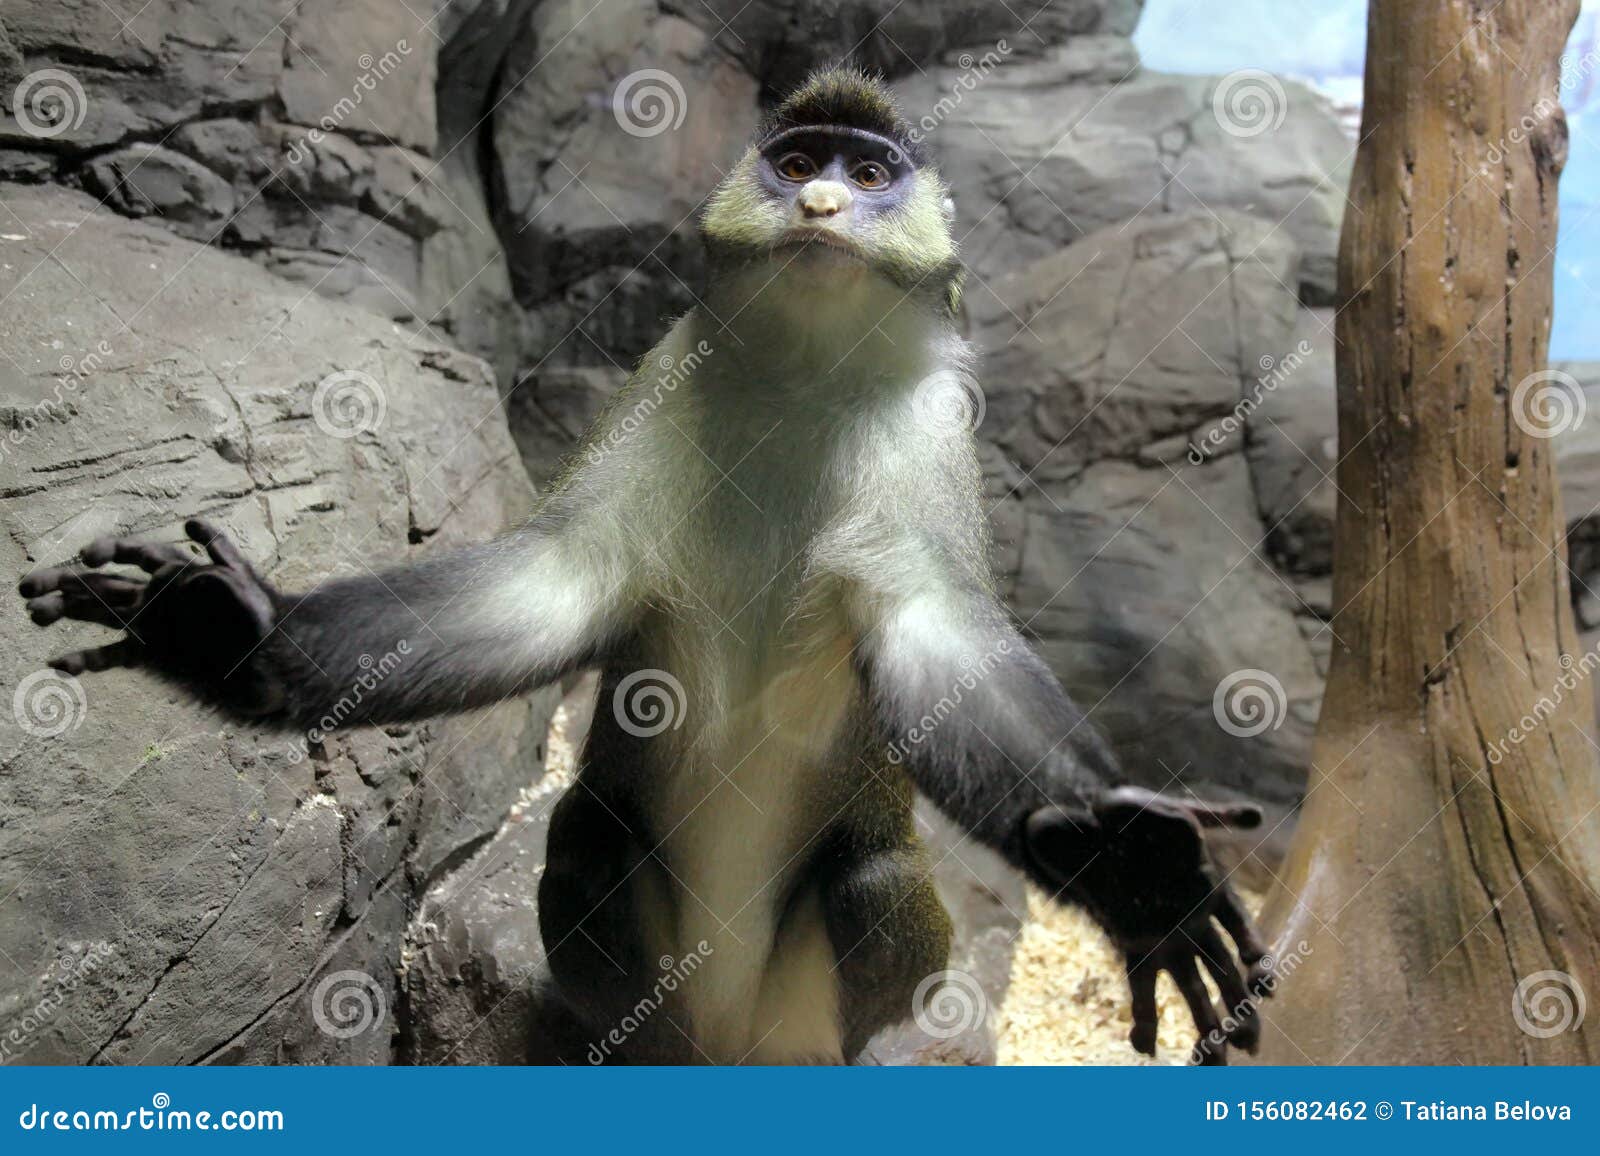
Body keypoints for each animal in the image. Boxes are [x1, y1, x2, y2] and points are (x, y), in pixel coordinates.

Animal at [18, 68, 1272, 1065]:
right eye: (796, 163)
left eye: (870, 173)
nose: (821, 202)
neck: (800, 380)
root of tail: (729, 1037)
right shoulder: (659, 384)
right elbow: (551, 586)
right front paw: (236, 631)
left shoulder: (927, 441)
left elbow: (931, 634)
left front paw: (1130, 868)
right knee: (585, 831)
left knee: (869, 879)